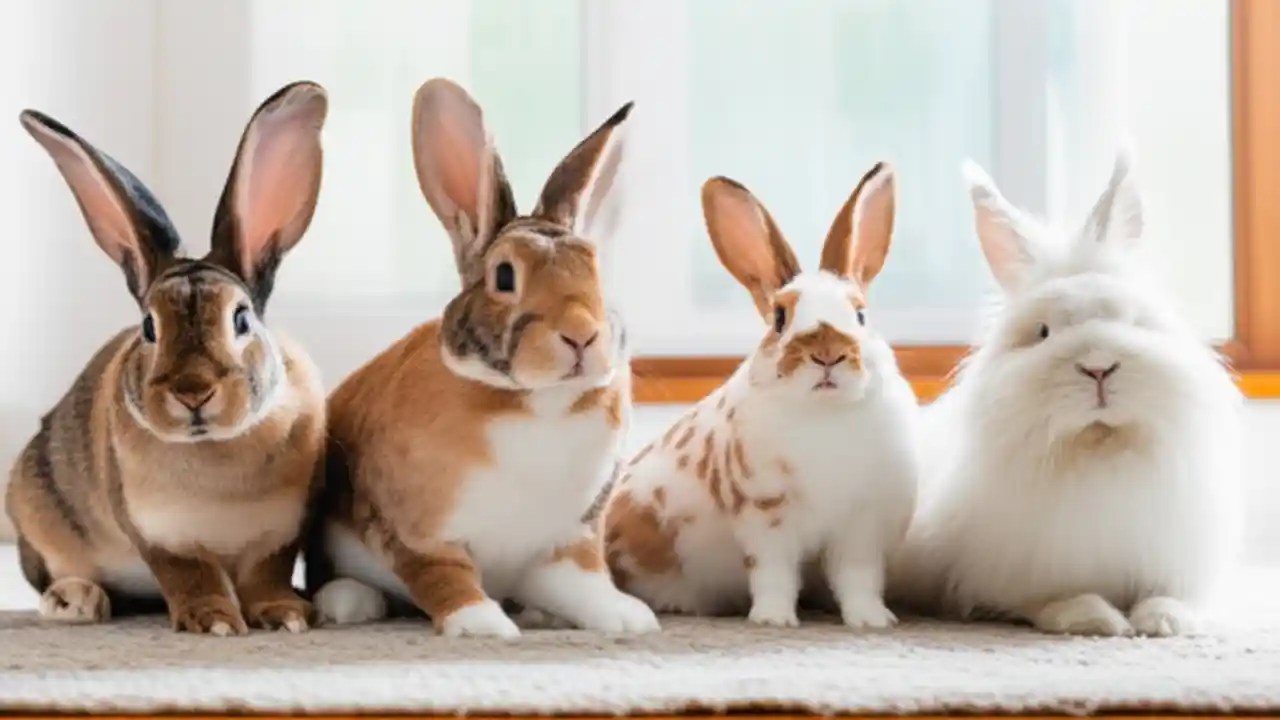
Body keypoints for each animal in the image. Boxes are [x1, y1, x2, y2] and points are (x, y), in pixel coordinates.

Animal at [5, 82, 329, 635]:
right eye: (149, 328)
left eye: (241, 319)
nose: (193, 391)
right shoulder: (161, 537)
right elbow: (189, 575)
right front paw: (214, 621)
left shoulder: (280, 534)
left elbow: (267, 576)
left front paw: (284, 615)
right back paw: (77, 602)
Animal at [304, 78, 659, 638]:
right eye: (505, 276)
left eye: (596, 270)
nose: (581, 335)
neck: (541, 401)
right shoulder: (420, 535)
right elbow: (444, 576)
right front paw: (480, 626)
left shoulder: (569, 540)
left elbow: (584, 581)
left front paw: (628, 619)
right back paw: (349, 604)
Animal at [603, 163, 919, 629]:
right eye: (780, 318)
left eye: (860, 314)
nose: (827, 353)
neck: (825, 415)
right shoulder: (767, 517)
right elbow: (774, 574)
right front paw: (773, 620)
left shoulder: (861, 526)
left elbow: (858, 579)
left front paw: (871, 620)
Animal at [889, 153, 1243, 637]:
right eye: (1042, 332)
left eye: (1132, 320)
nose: (1098, 367)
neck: (1099, 448)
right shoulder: (1014, 577)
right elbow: (1053, 600)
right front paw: (1096, 619)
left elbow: (1172, 595)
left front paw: (1164, 621)